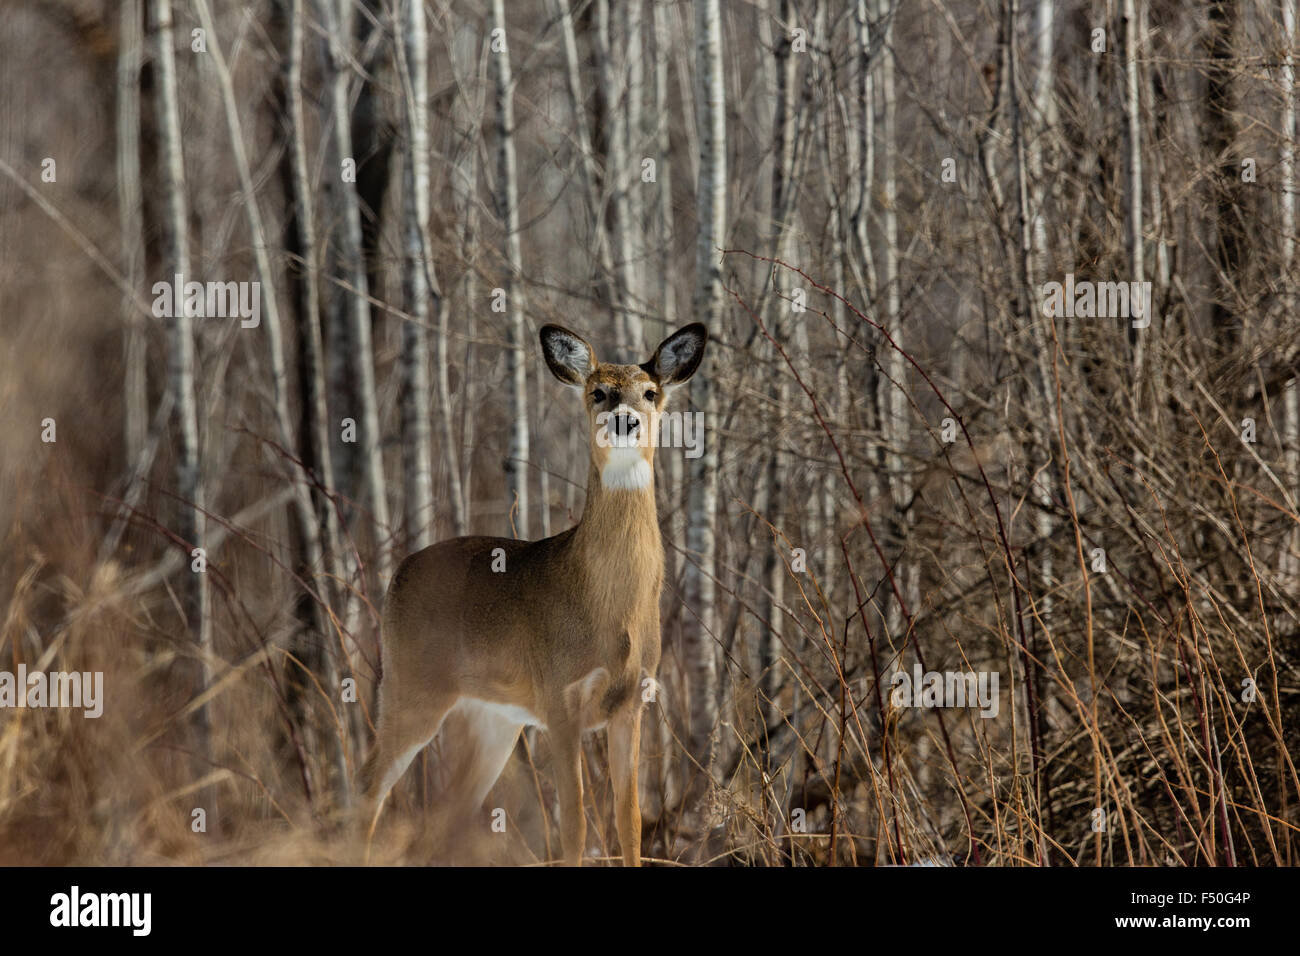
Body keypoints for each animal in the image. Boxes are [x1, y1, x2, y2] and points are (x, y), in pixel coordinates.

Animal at [359, 322, 708, 866]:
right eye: (598, 392)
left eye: (651, 392)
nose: (625, 420)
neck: (609, 605)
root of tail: (399, 572)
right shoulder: (558, 696)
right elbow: (576, 825)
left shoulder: (631, 703)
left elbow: (629, 821)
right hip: (412, 684)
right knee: (369, 785)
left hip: (491, 718)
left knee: (443, 816)